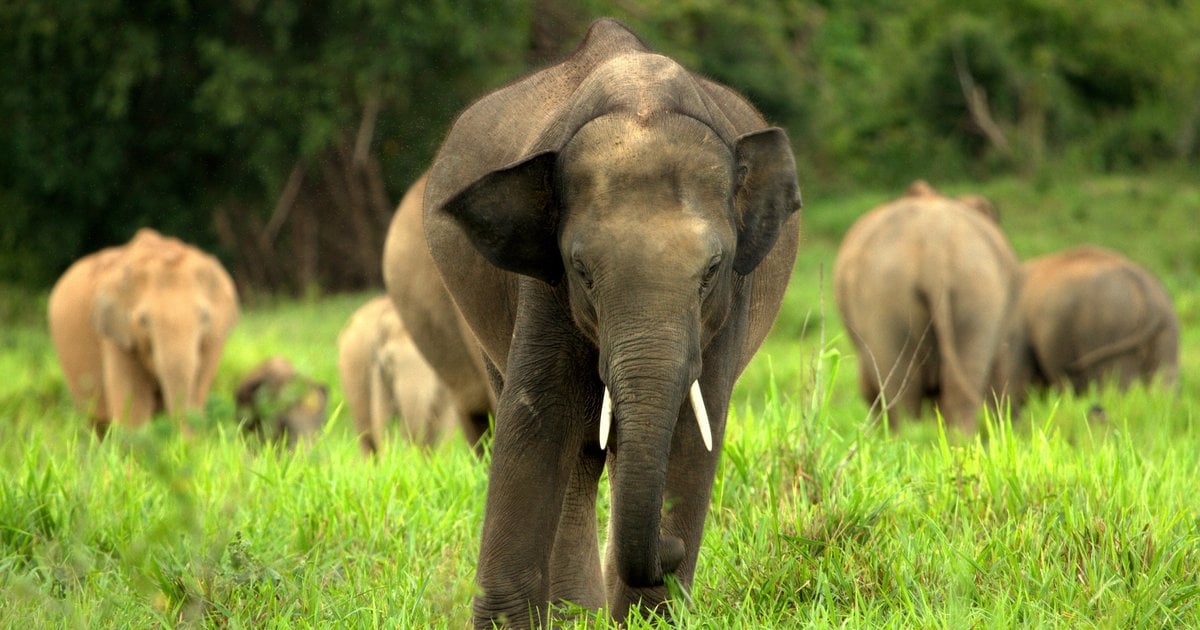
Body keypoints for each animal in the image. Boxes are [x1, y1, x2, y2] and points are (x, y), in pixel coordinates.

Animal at [48, 228, 239, 434]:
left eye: (204, 317)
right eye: (143, 321)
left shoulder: (214, 339)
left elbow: (197, 390)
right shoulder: (117, 335)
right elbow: (133, 405)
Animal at [414, 19, 802, 626]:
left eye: (712, 270)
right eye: (582, 271)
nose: (670, 550)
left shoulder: (728, 307)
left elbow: (692, 437)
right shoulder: (546, 289)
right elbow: (536, 423)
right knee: (573, 453)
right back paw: (576, 612)